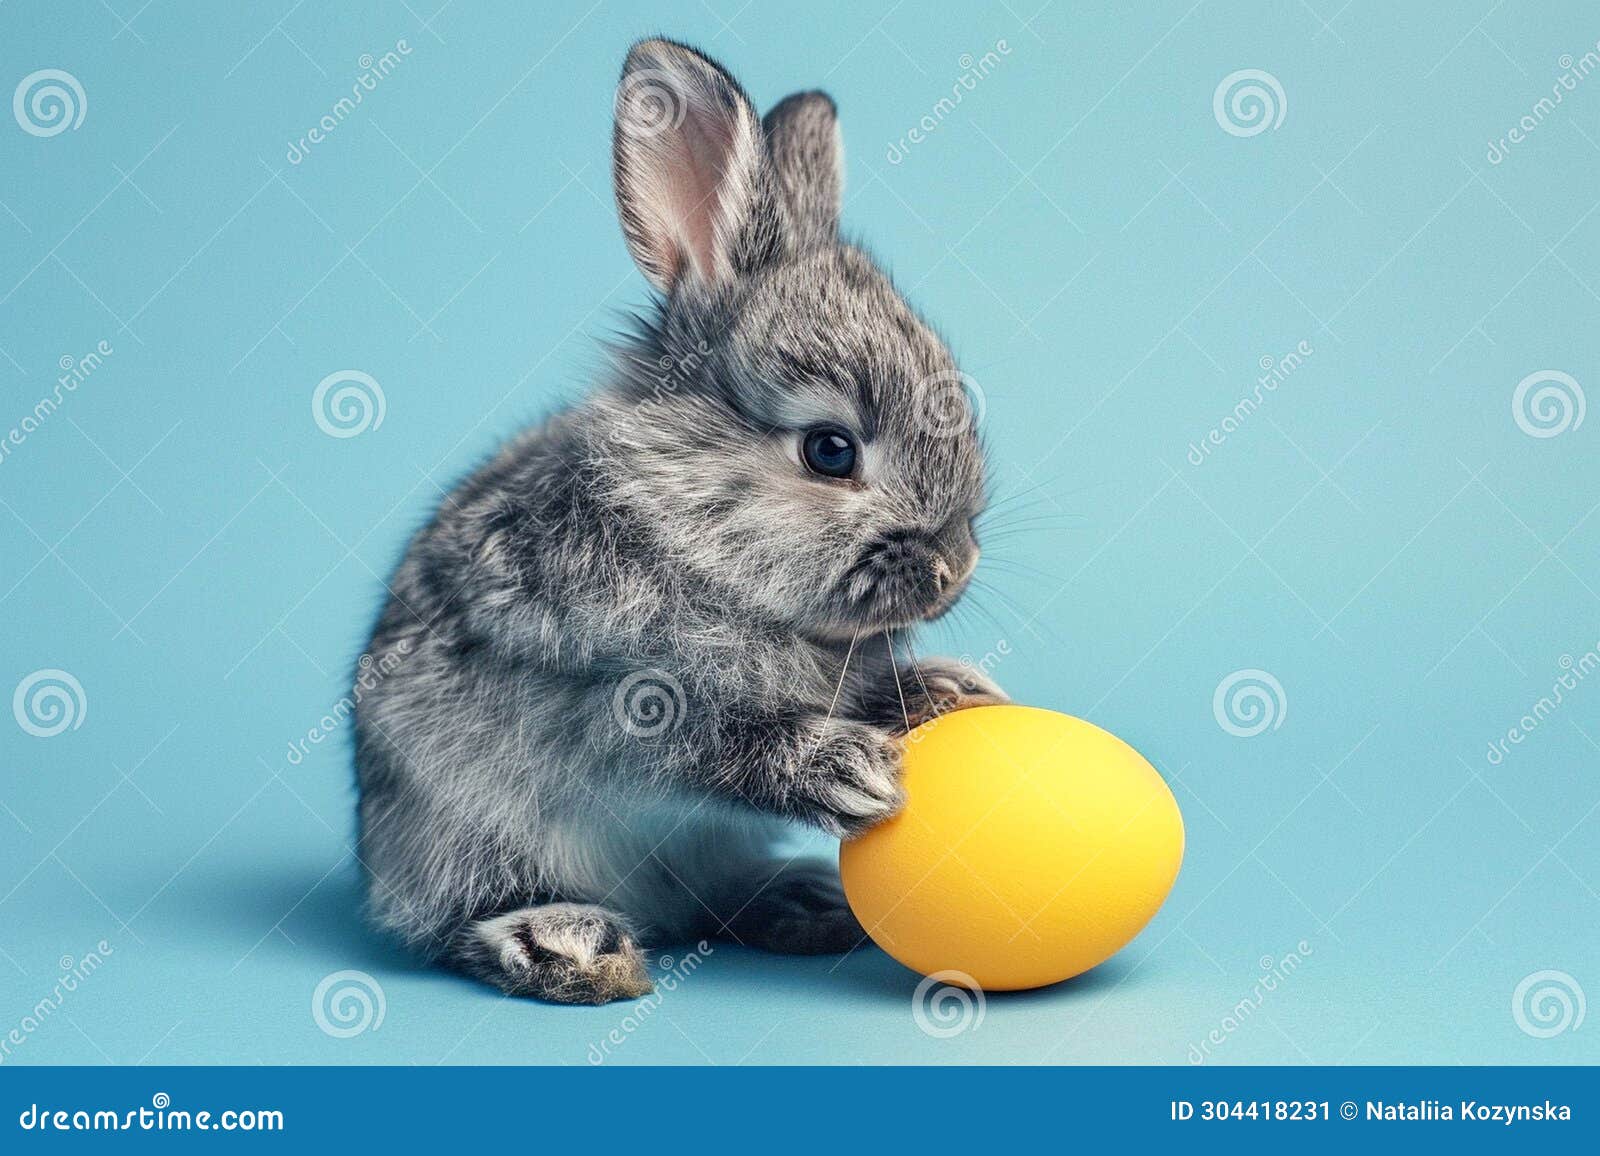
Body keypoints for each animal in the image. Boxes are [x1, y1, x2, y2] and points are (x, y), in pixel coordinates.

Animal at [352, 37, 1005, 1005]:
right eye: (830, 451)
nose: (953, 568)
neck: (683, 531)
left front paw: (946, 691)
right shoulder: (619, 701)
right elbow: (708, 745)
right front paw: (843, 770)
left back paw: (803, 905)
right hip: (459, 834)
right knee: (455, 921)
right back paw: (569, 946)